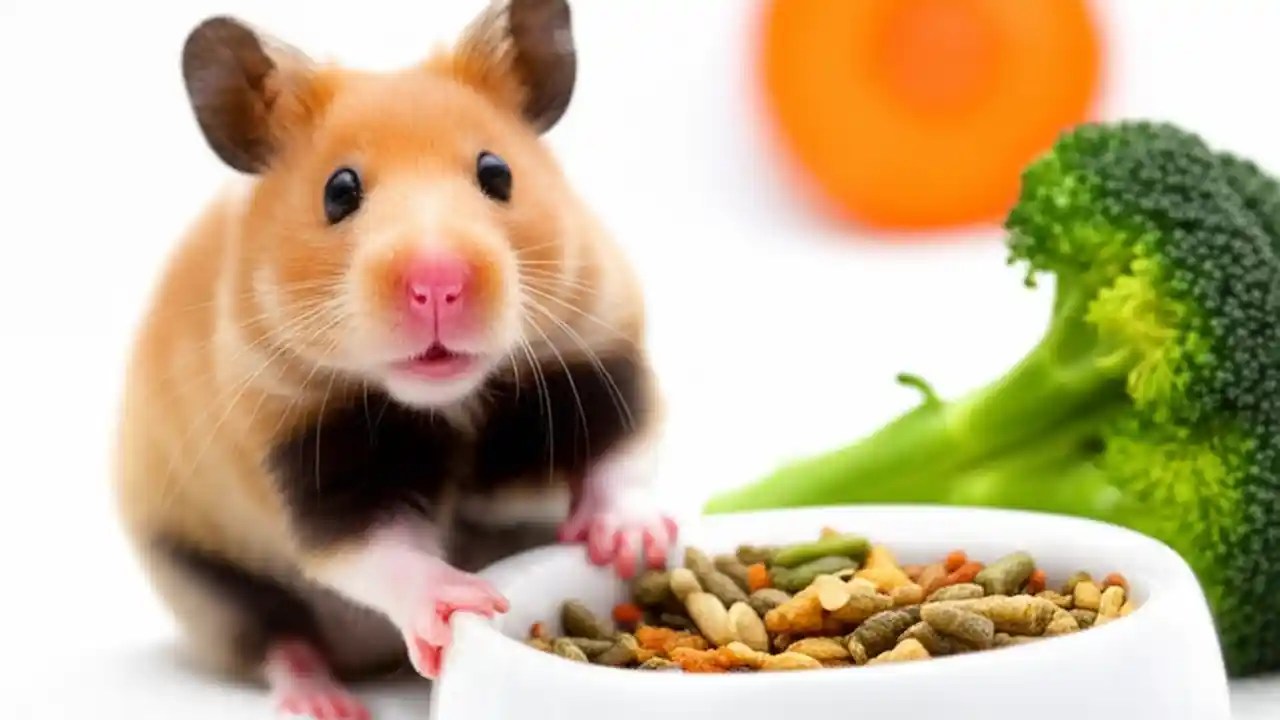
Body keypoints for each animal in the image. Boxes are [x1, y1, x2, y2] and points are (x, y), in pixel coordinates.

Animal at [112, 2, 675, 717]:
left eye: (497, 174)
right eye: (339, 192)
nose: (438, 282)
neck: (451, 398)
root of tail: (369, 660)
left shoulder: (603, 357)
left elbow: (620, 455)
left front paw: (632, 547)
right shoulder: (311, 463)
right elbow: (382, 552)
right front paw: (462, 602)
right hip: (203, 581)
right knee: (279, 639)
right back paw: (325, 699)